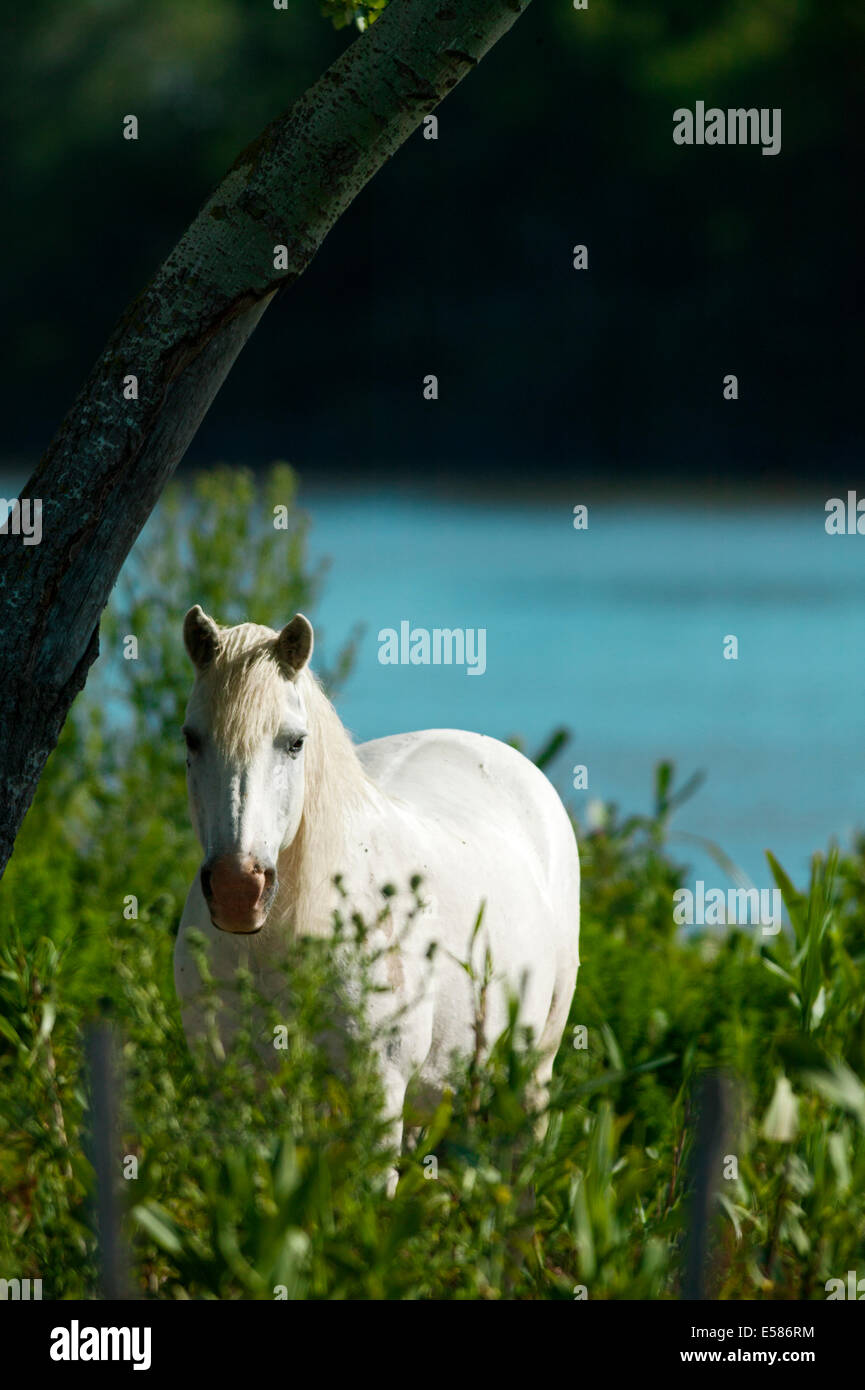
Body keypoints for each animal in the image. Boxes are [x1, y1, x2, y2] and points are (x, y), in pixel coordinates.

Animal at [174, 606, 581, 1190]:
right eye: (192, 738)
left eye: (294, 742)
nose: (237, 889)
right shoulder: (228, 1089)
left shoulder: (378, 1095)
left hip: (531, 1074)